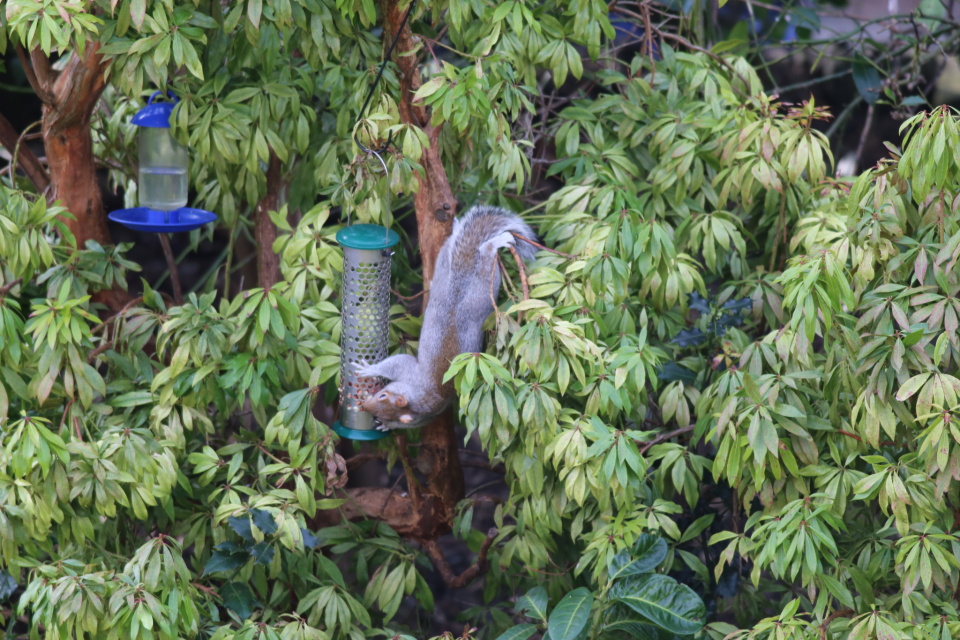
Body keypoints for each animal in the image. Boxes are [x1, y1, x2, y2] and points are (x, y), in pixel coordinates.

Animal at [358, 205, 537, 430]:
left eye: (382, 397)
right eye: (378, 414)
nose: (364, 406)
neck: (422, 399)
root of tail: (459, 286)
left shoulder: (410, 372)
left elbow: (397, 362)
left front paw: (368, 369)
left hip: (479, 288)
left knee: (484, 255)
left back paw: (495, 243)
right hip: (460, 273)